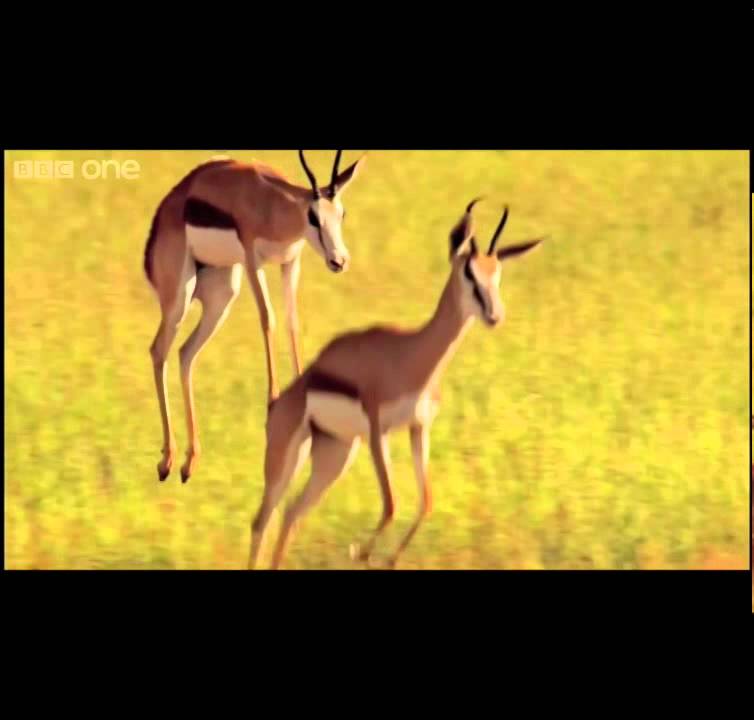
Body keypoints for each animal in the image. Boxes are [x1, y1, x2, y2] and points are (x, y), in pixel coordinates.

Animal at [144, 150, 366, 483]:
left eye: (342, 213)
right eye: (313, 216)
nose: (338, 261)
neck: (272, 205)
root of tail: (169, 206)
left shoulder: (291, 262)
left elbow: (292, 323)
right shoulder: (253, 261)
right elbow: (268, 318)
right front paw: (273, 402)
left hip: (222, 293)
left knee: (185, 353)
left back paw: (189, 463)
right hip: (180, 297)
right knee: (159, 351)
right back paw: (166, 462)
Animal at [248, 200, 545, 569]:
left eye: (497, 274)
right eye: (469, 273)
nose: (494, 316)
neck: (410, 356)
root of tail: (277, 401)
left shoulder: (418, 428)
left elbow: (425, 502)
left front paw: (383, 558)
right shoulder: (379, 431)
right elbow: (391, 505)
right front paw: (361, 552)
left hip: (336, 452)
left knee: (291, 514)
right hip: (287, 455)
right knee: (262, 519)